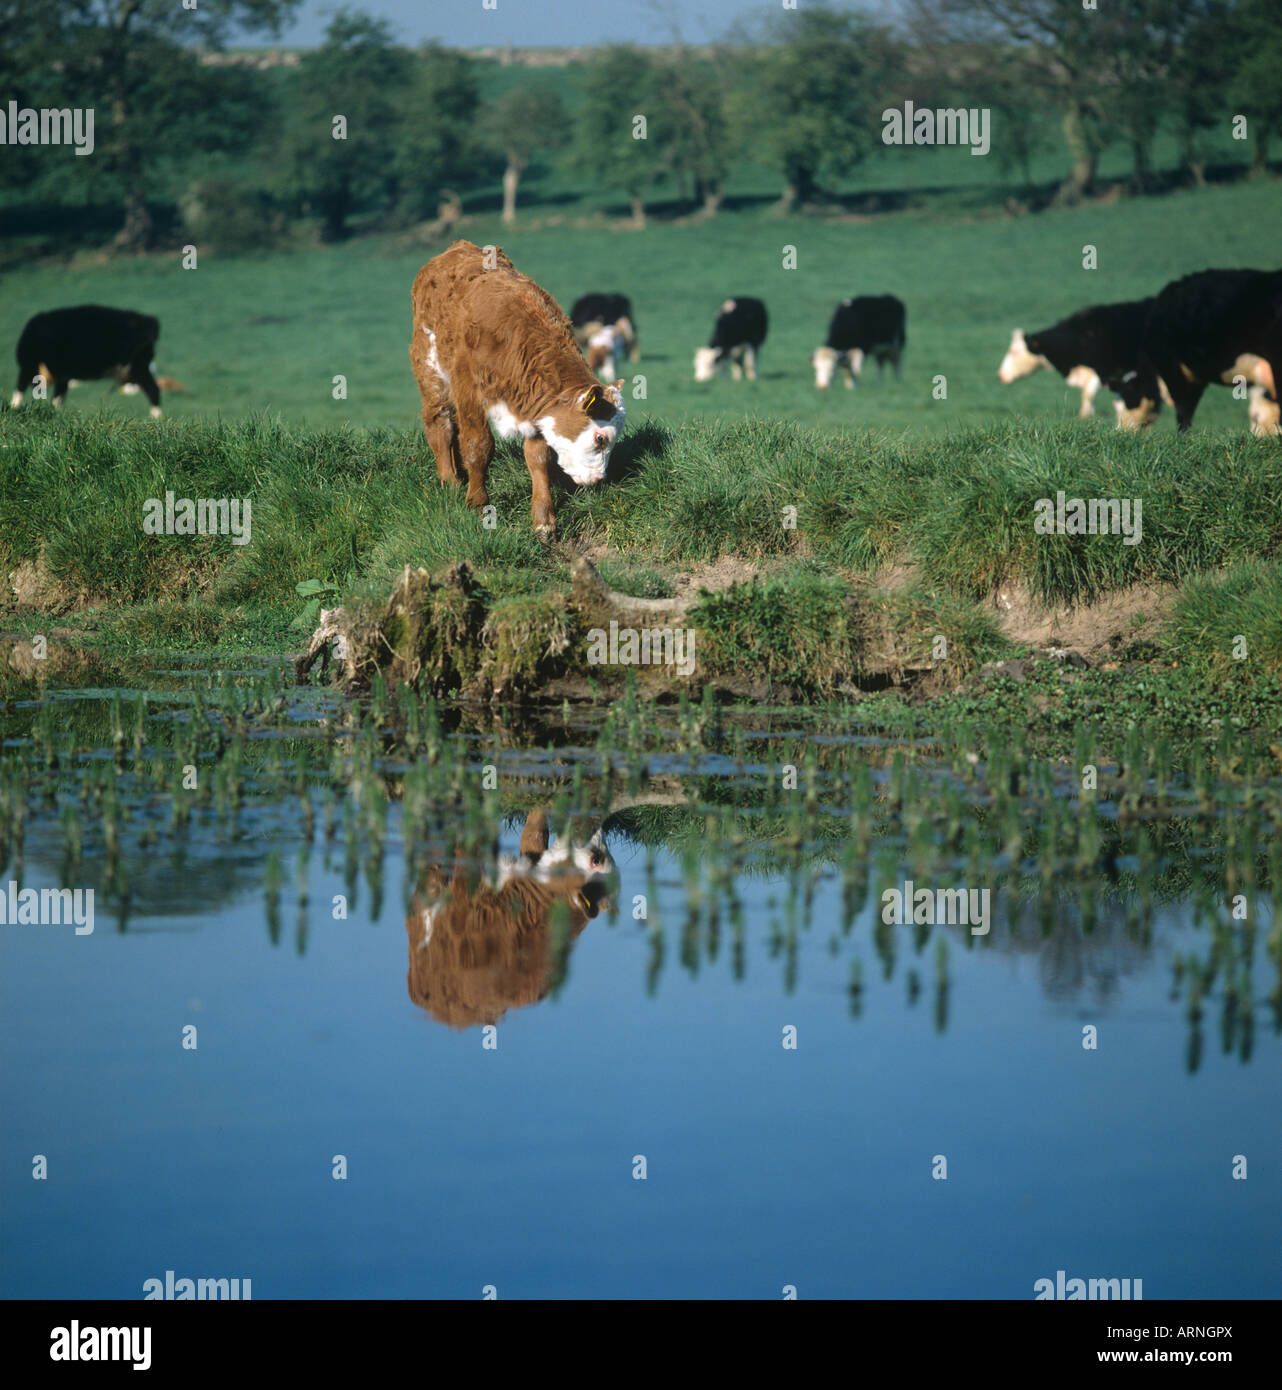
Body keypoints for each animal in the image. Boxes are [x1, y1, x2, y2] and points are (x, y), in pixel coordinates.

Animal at [12, 304, 164, 417]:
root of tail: (147, 320)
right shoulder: (62, 374)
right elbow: (57, 398)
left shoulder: (38, 367)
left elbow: (21, 389)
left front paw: (14, 409)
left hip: (138, 366)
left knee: (153, 390)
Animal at [410, 241, 626, 539]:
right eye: (600, 438)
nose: (596, 480)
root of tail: (455, 249)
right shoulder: (468, 389)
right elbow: (478, 446)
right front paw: (478, 504)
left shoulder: (534, 407)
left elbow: (538, 458)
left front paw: (544, 520)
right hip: (431, 372)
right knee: (440, 425)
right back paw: (451, 482)